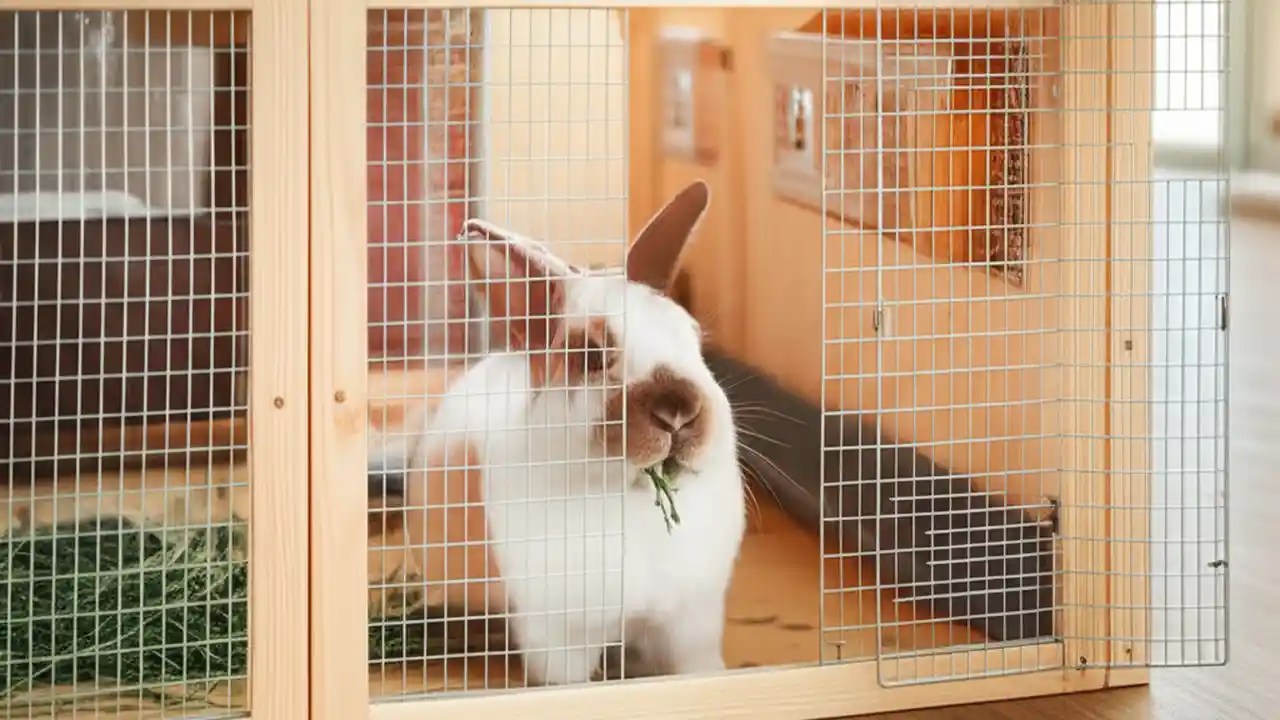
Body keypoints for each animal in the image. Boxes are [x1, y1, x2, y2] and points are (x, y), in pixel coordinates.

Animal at [407, 180, 745, 686]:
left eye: (693, 335)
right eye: (590, 356)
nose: (678, 411)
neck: (627, 493)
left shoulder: (691, 623)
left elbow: (694, 667)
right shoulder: (559, 635)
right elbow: (567, 680)